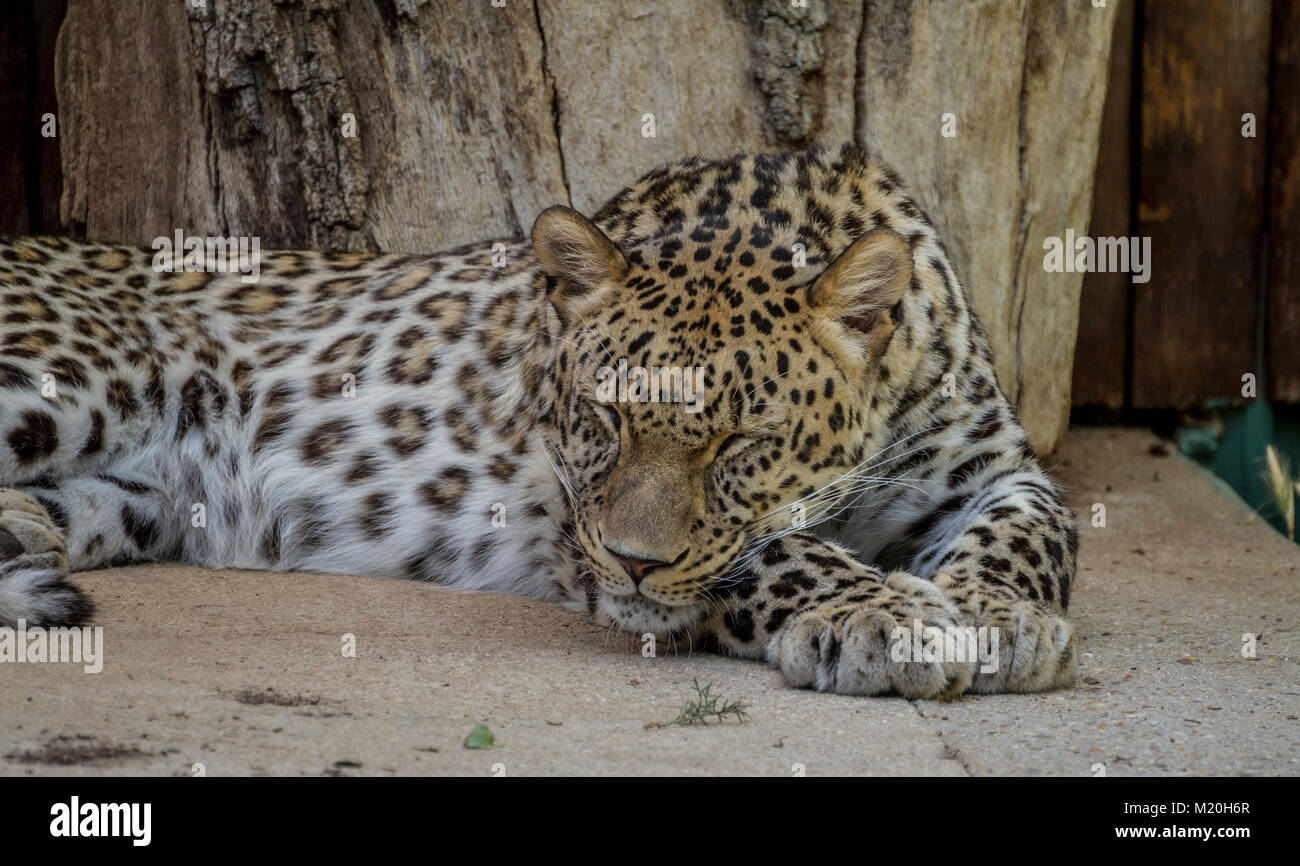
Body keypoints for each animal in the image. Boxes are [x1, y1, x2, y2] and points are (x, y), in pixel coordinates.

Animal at [0, 144, 1077, 698]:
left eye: (743, 441)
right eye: (602, 416)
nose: (635, 566)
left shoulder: (997, 468)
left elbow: (1034, 532)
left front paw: (1001, 616)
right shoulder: (572, 511)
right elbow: (773, 550)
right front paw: (887, 616)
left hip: (133, 495)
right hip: (74, 375)